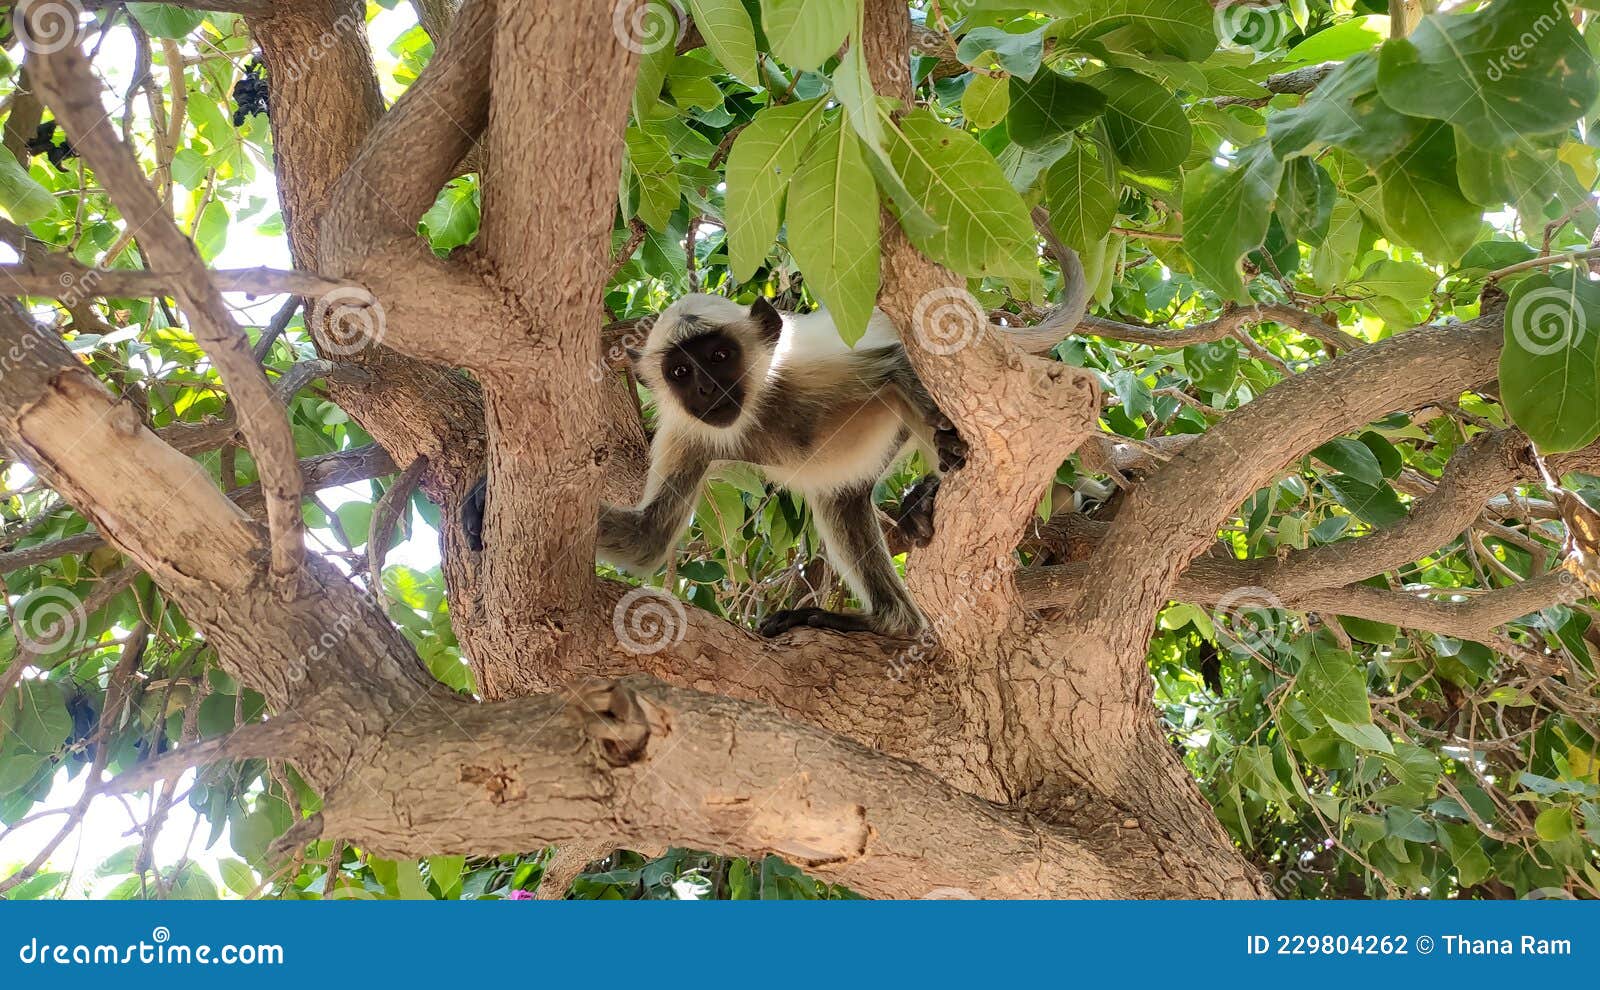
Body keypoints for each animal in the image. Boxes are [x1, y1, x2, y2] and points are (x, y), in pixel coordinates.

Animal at [462, 294, 969, 638]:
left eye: (719, 356)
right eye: (681, 373)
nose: (706, 388)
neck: (762, 412)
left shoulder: (805, 366)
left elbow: (897, 362)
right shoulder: (686, 434)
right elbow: (648, 538)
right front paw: (482, 504)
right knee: (842, 499)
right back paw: (890, 621)